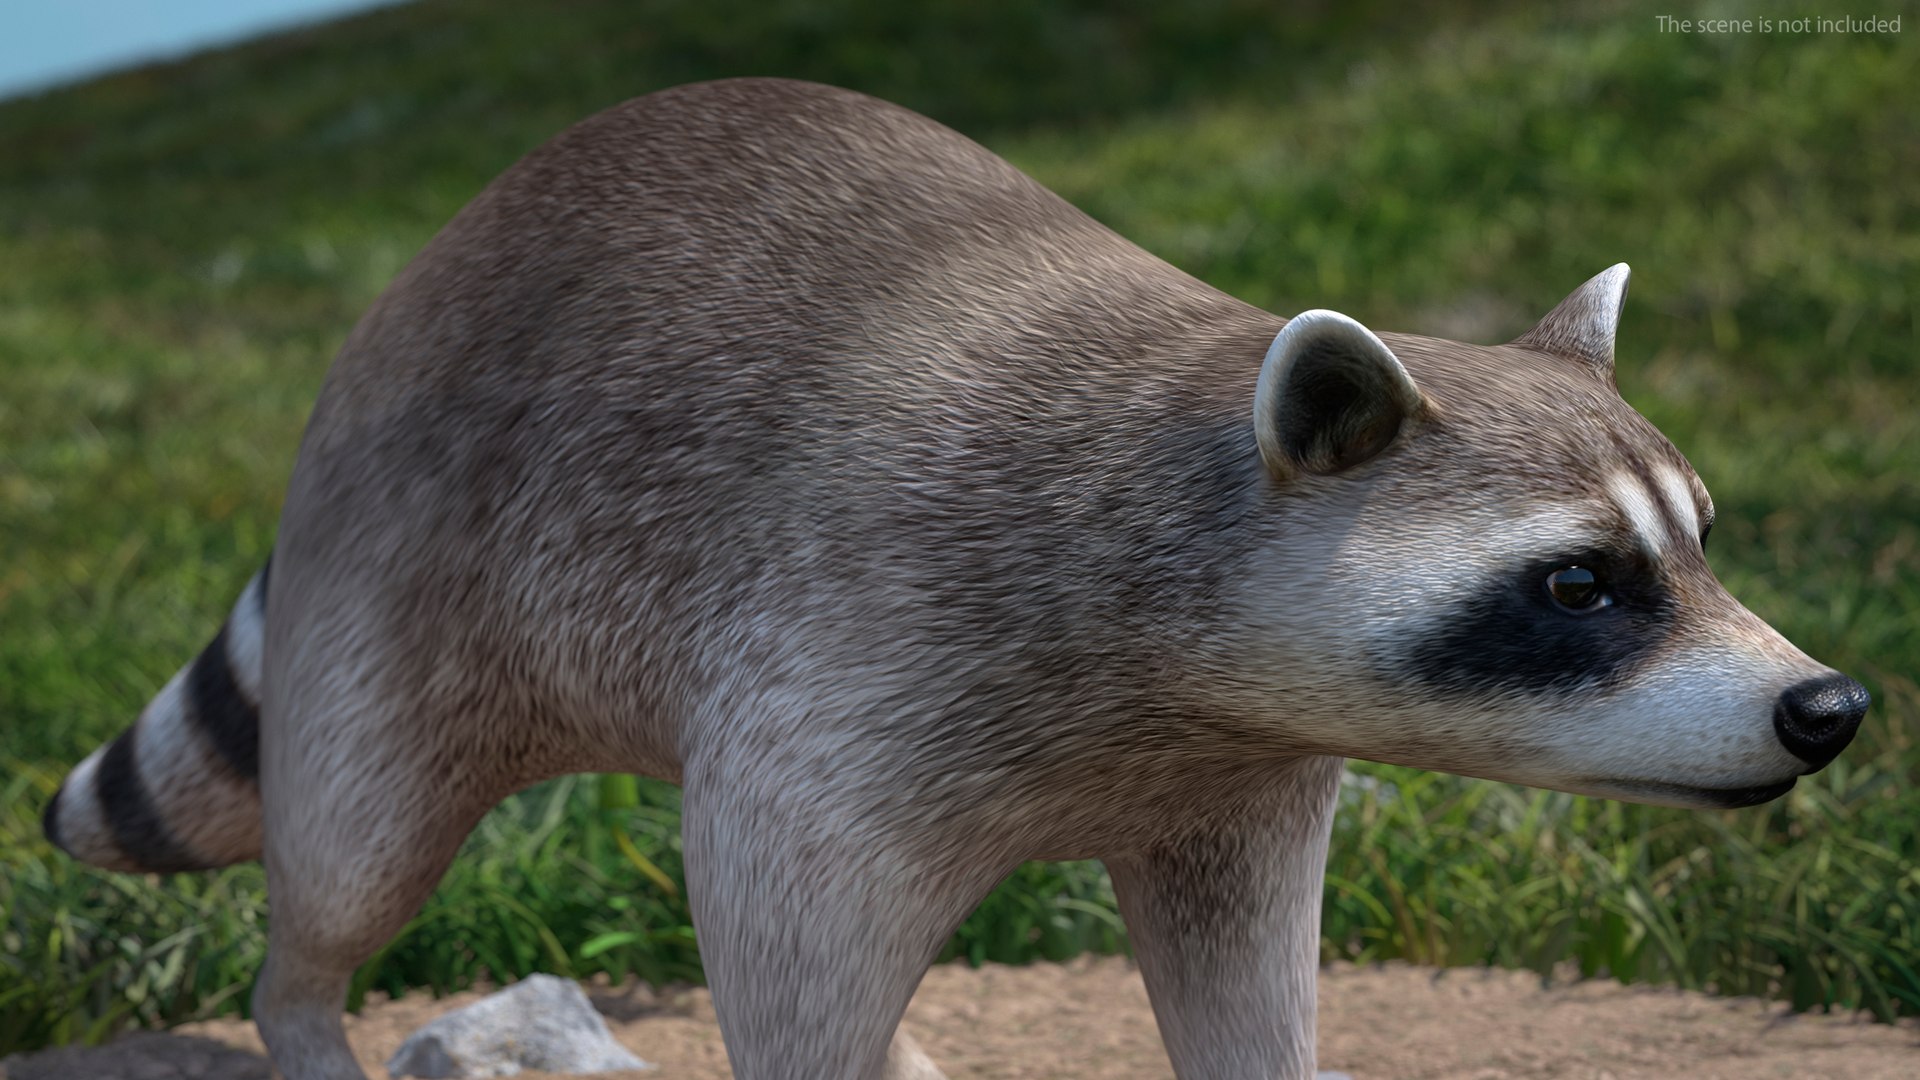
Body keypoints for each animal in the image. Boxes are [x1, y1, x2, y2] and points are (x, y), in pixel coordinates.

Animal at [46, 79, 1867, 1080]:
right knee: (357, 854)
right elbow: (792, 948)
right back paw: (303, 1015)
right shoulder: (850, 643)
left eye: (1699, 539)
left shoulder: (1234, 773)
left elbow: (1241, 974)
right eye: (1579, 587)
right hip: (414, 571)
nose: (1830, 705)